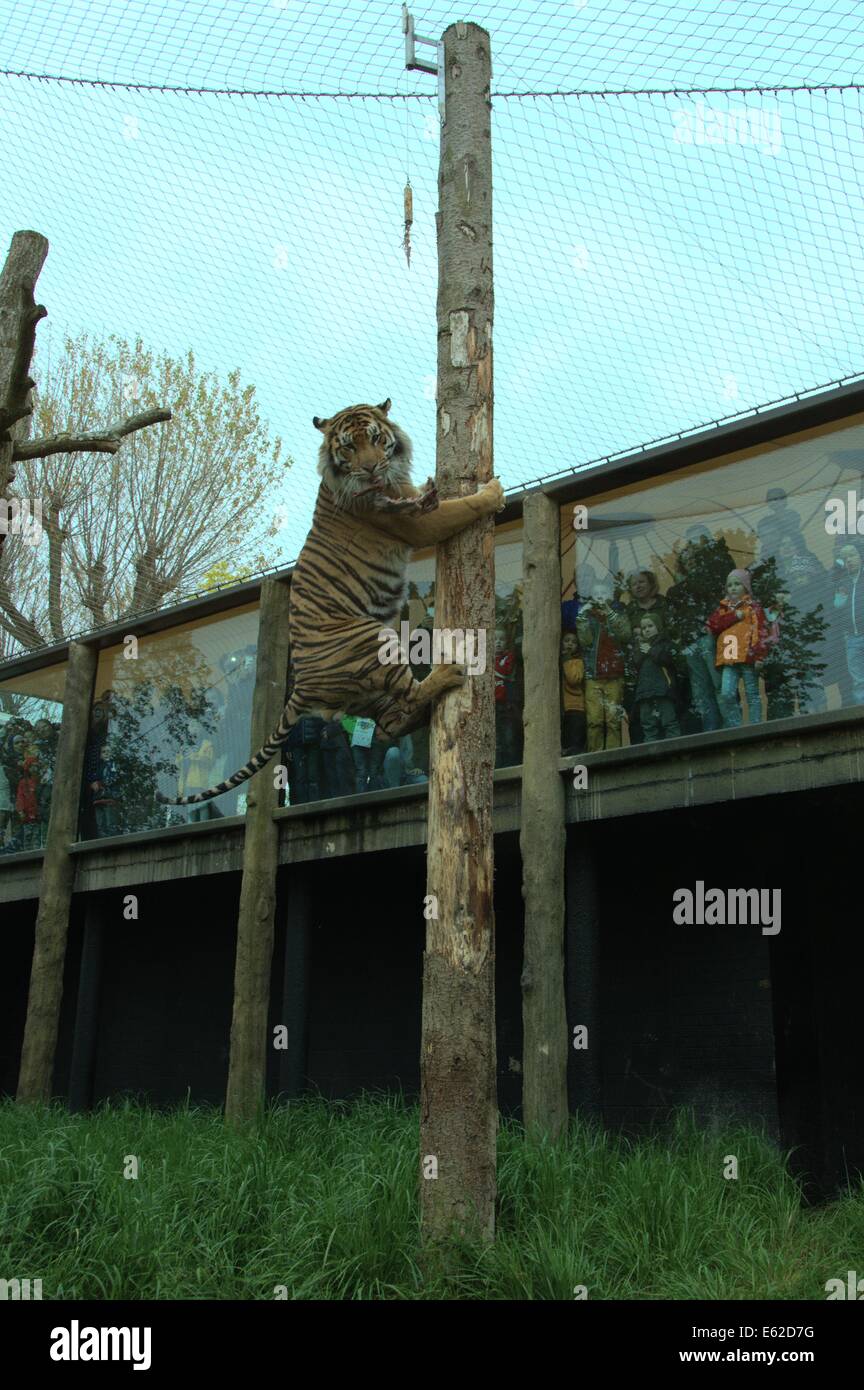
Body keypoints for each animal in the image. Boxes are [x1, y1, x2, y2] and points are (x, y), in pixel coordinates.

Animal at [158, 398, 505, 806]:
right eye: (349, 447)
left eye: (375, 439)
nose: (370, 469)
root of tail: (301, 686)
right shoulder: (417, 521)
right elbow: (461, 507)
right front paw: (493, 493)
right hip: (372, 638)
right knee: (407, 695)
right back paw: (447, 674)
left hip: (364, 693)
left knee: (390, 724)